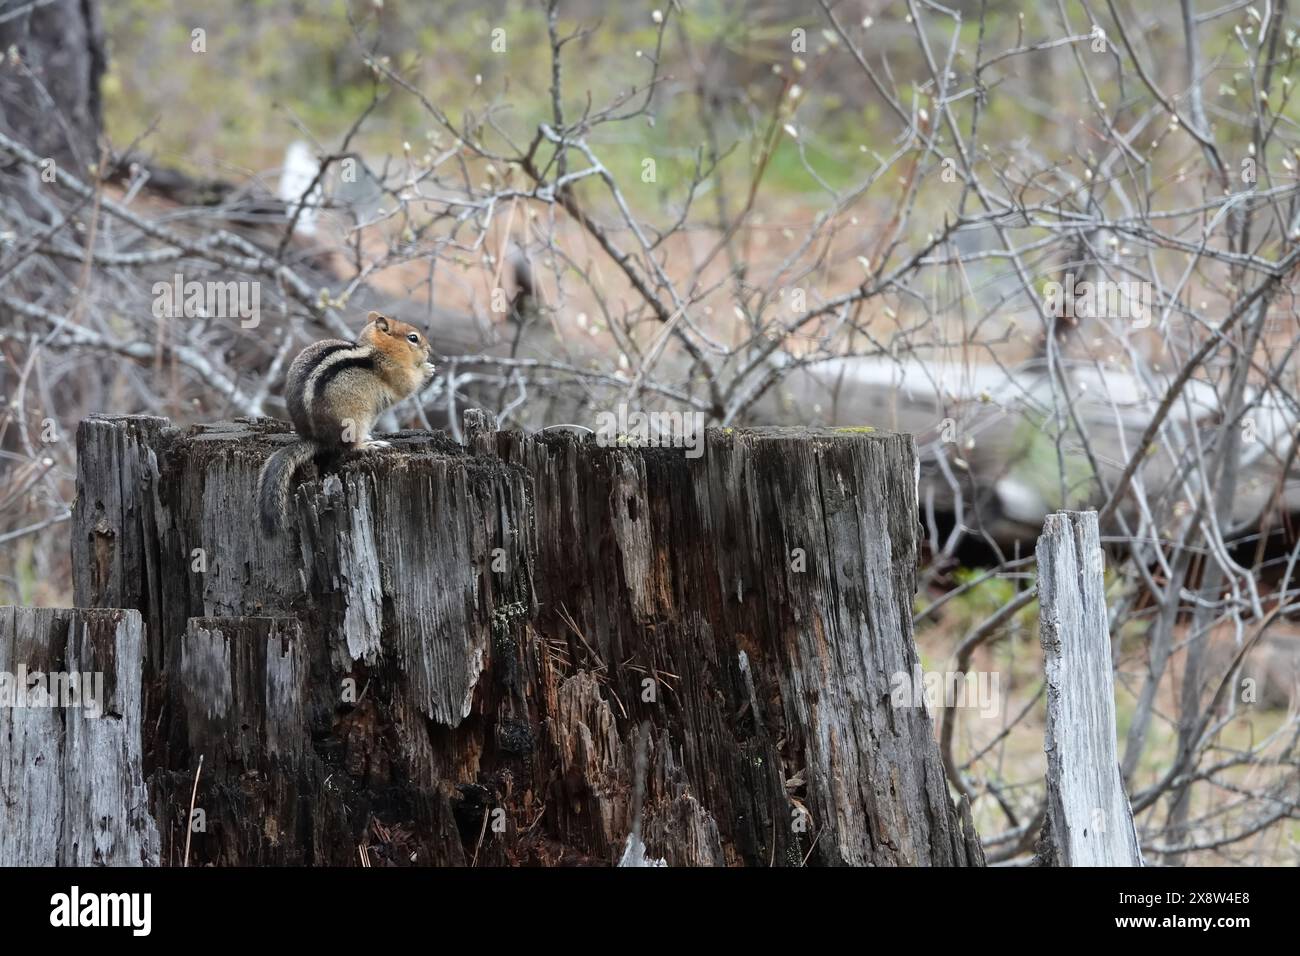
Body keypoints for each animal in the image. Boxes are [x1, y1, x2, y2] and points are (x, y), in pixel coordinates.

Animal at [257, 311, 435, 535]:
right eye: (413, 338)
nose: (430, 350)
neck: (377, 350)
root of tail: (317, 438)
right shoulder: (397, 373)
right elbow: (409, 385)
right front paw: (427, 369)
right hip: (356, 420)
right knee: (350, 447)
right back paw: (369, 444)